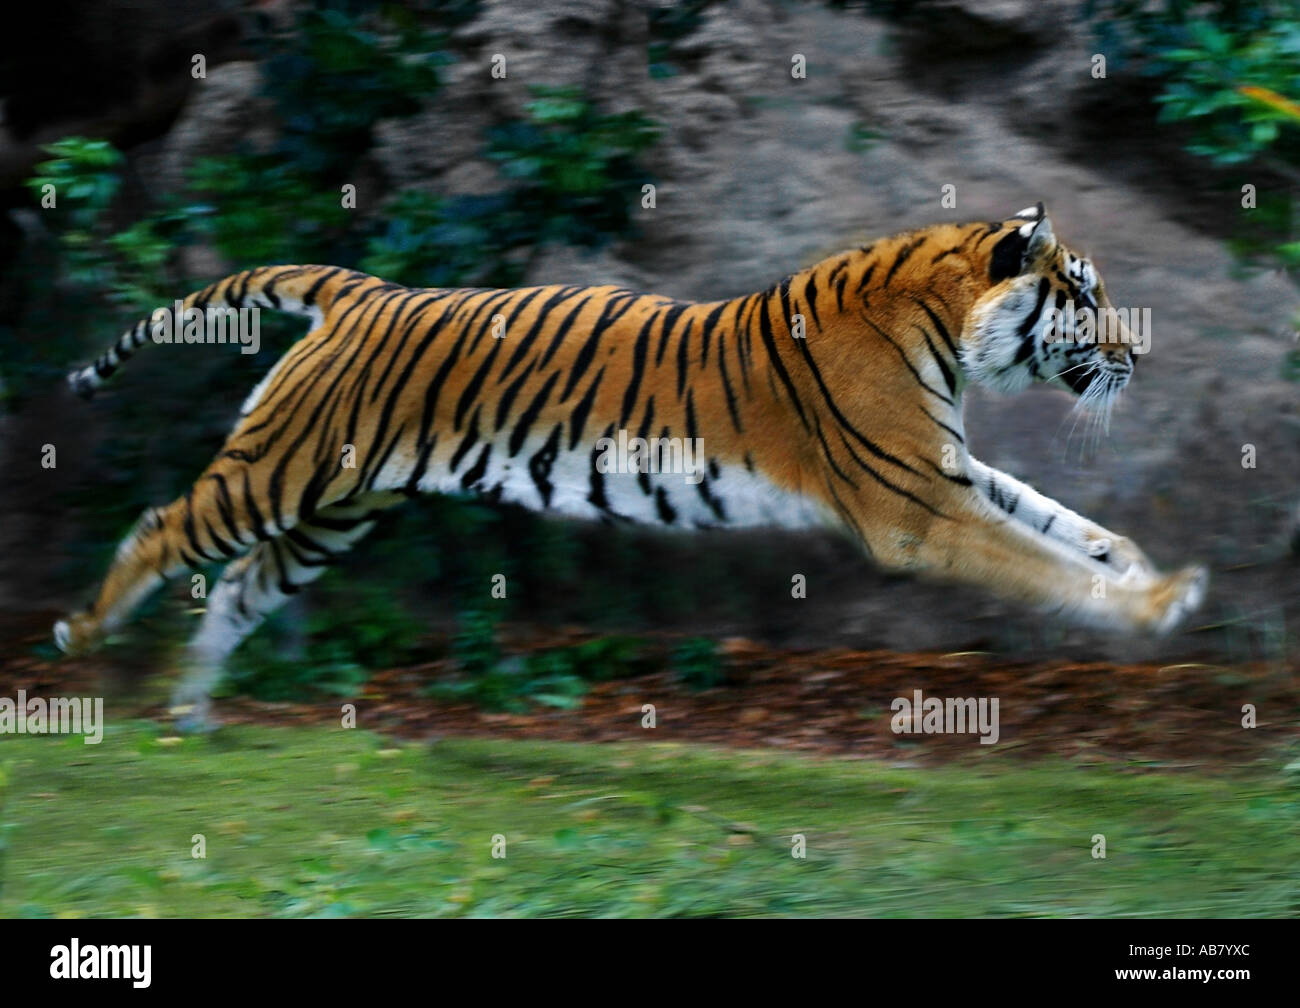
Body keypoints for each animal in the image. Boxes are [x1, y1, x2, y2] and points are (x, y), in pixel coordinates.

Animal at [54, 203, 1207, 730]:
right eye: (1084, 294)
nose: (1139, 354)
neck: (944, 326)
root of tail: (360, 288)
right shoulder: (916, 506)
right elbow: (1037, 562)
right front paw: (1150, 610)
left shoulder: (947, 472)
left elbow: (1059, 523)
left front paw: (1150, 573)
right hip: (280, 473)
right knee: (162, 528)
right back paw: (86, 635)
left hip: (339, 508)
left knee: (241, 589)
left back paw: (192, 709)